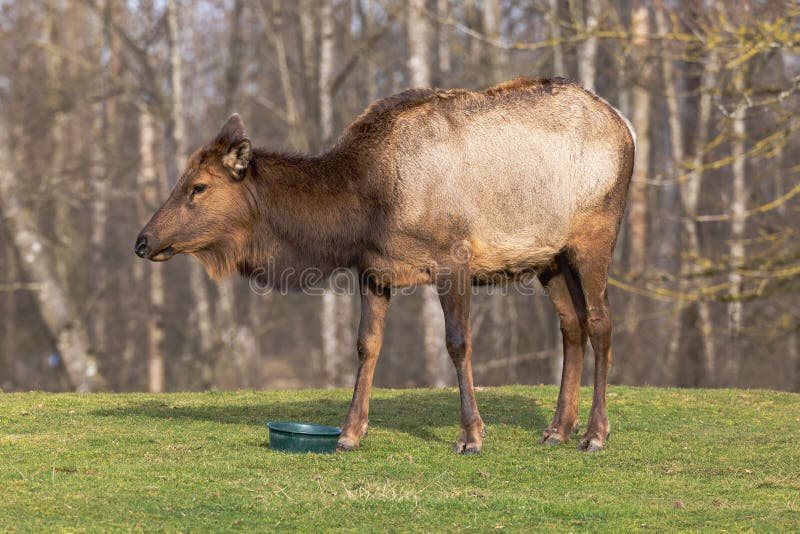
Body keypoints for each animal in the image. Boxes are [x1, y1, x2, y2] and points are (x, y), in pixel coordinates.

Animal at [135, 77, 635, 454]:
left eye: (197, 187)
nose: (143, 240)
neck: (363, 210)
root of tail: (627, 127)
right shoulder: (374, 268)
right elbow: (366, 345)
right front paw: (350, 432)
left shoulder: (454, 256)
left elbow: (458, 343)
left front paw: (471, 435)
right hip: (548, 256)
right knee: (571, 325)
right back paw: (558, 429)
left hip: (595, 234)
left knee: (600, 322)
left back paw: (595, 434)